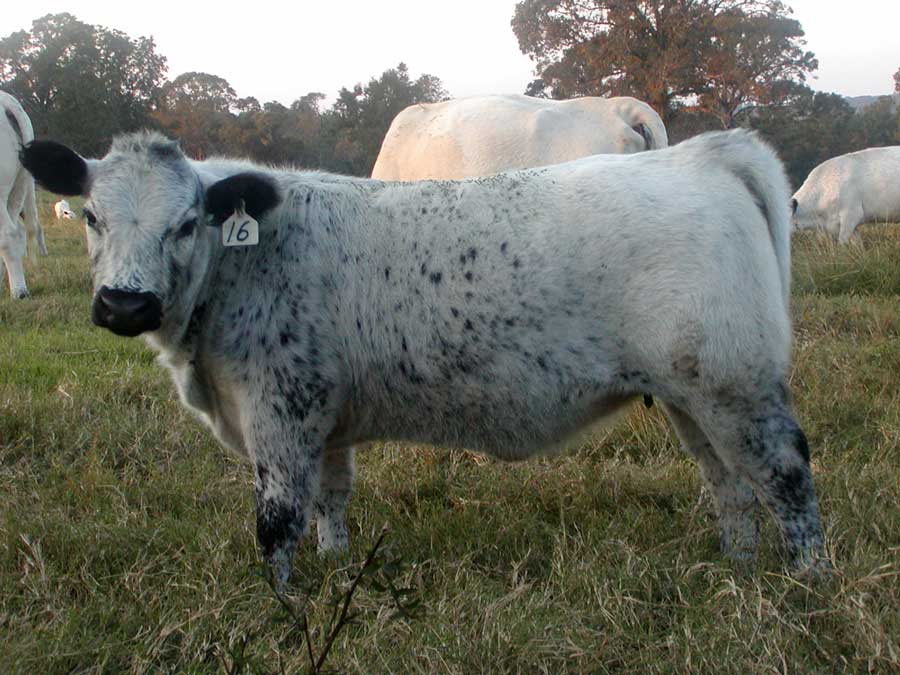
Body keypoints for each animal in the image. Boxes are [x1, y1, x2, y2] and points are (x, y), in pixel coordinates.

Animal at [21, 129, 827, 586]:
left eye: (187, 223)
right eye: (91, 216)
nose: (125, 304)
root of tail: (699, 155)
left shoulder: (280, 414)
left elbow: (277, 519)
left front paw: (283, 603)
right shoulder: (325, 418)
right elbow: (331, 499)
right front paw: (335, 570)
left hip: (735, 381)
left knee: (784, 473)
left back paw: (808, 585)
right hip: (694, 394)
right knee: (728, 482)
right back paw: (736, 569)